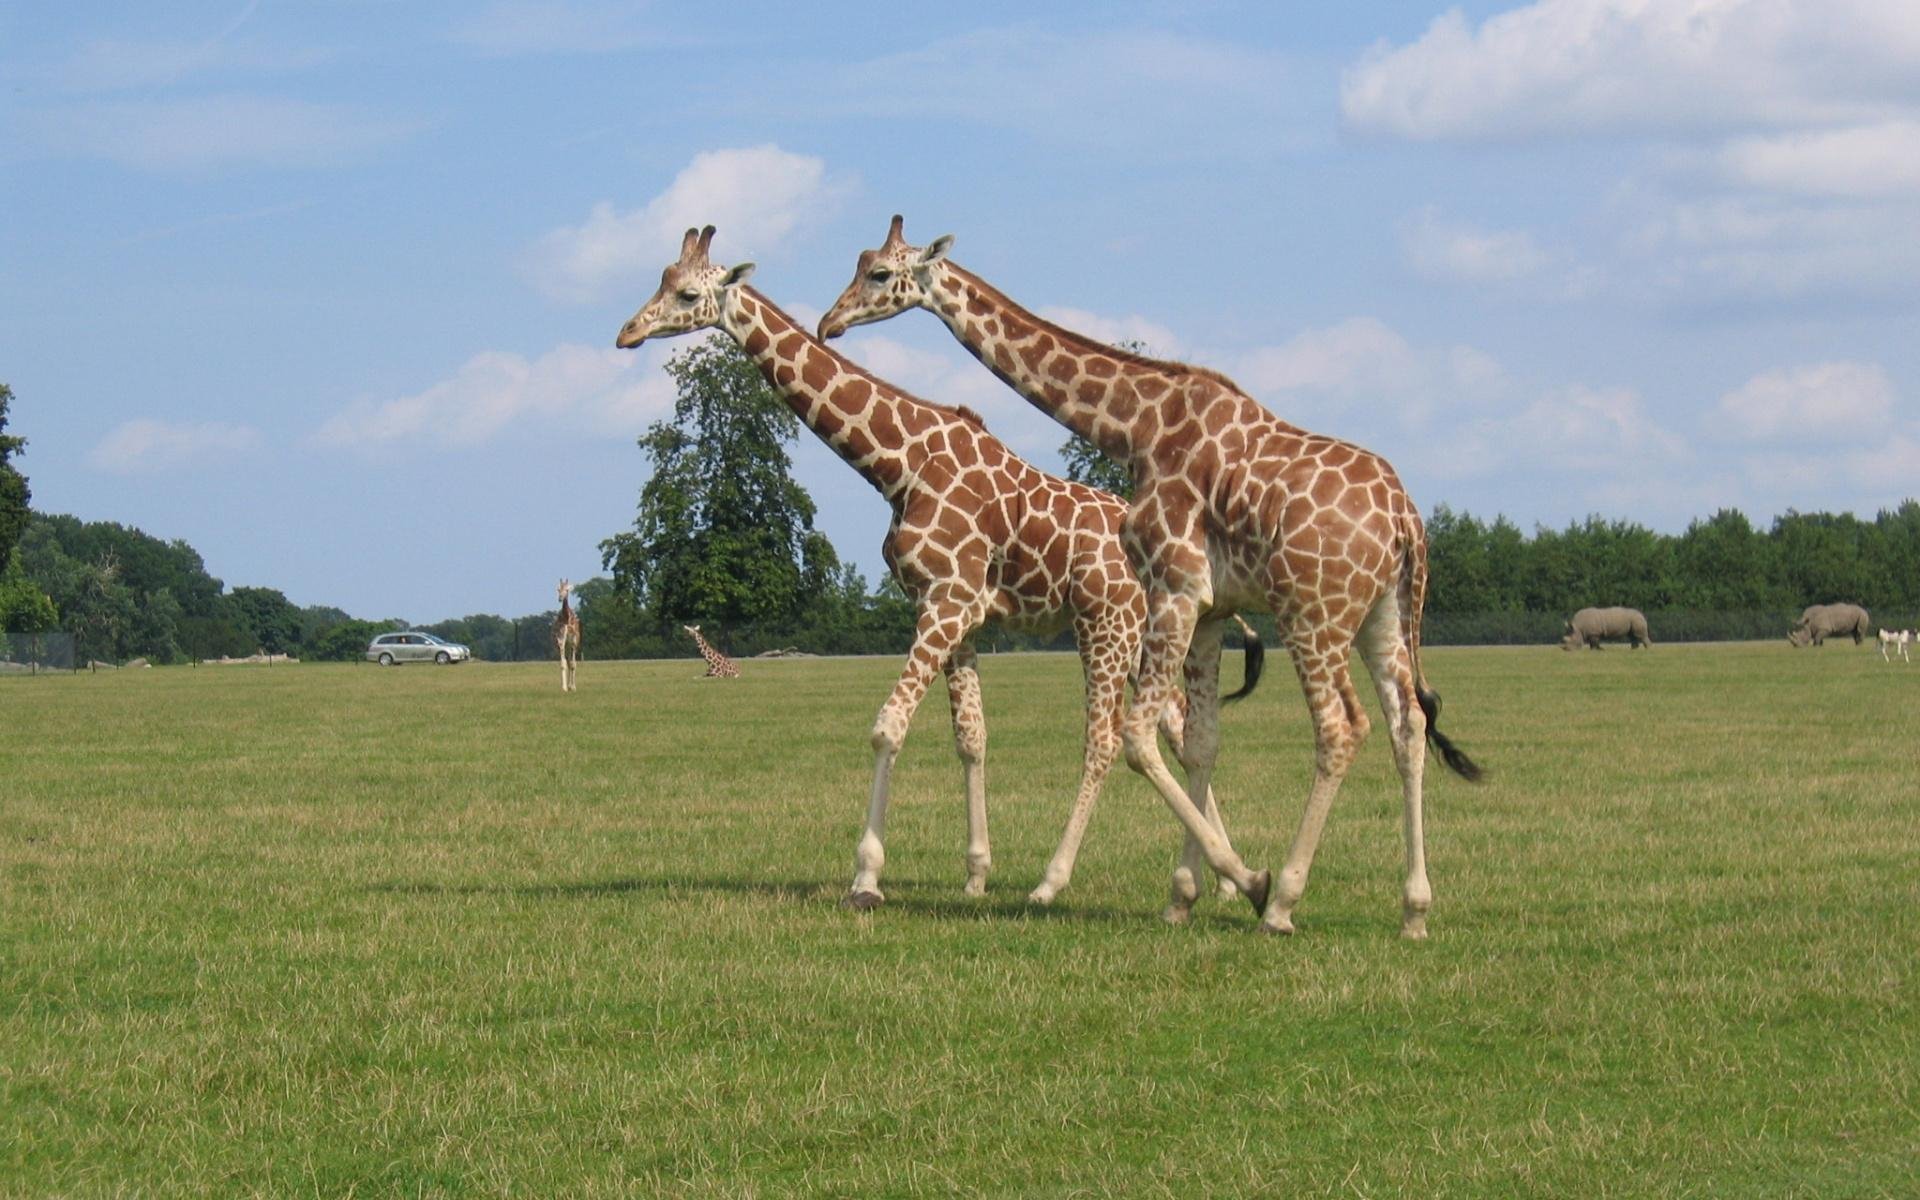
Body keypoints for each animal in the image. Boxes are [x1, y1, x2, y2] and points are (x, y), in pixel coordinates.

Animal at [617, 225, 1252, 910]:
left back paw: (1062, 881)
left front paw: (866, 877)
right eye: (658, 280)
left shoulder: (947, 601)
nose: (627, 331)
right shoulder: (953, 610)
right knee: (1177, 727)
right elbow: (971, 738)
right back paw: (1223, 877)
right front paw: (975, 873)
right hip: (1136, 635)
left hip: (1104, 626)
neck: (899, 465)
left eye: (686, 293)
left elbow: (888, 728)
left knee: (1107, 740)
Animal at [820, 217, 1483, 937]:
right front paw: (1186, 894)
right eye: (858, 263)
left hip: (1315, 613)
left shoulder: (1178, 584)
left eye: (880, 273)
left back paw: (1283, 903)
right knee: (1407, 724)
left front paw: (1246, 882)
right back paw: (1414, 910)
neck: (1136, 426)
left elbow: (1137, 738)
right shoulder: (1212, 608)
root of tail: (1406, 521)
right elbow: (1200, 742)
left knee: (1341, 728)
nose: (830, 322)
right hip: (1383, 615)